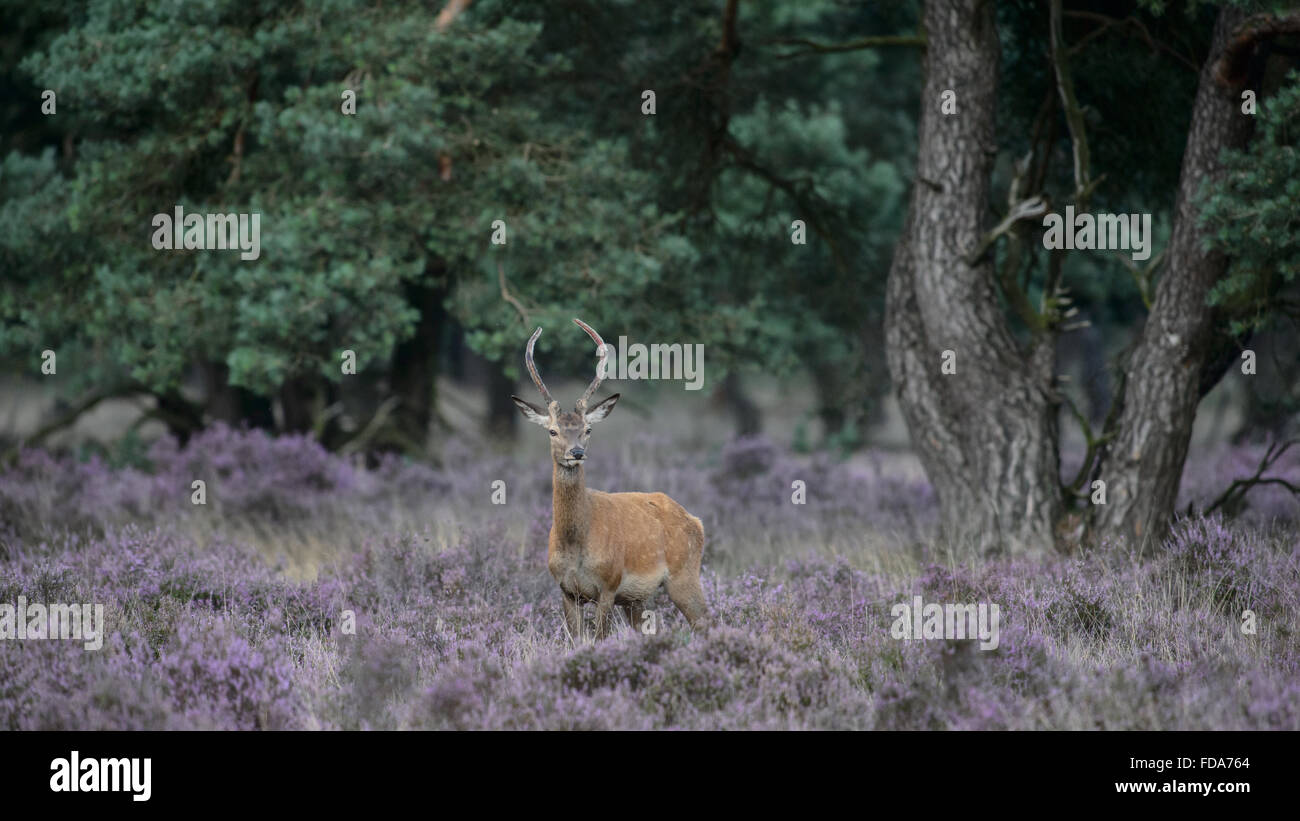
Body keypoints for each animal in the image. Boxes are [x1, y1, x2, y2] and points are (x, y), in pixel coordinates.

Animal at [511, 319, 708, 641]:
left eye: (588, 429)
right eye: (552, 430)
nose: (576, 453)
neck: (575, 545)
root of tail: (696, 521)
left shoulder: (609, 584)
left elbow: (600, 638)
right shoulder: (566, 590)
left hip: (685, 574)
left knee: (706, 621)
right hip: (637, 600)